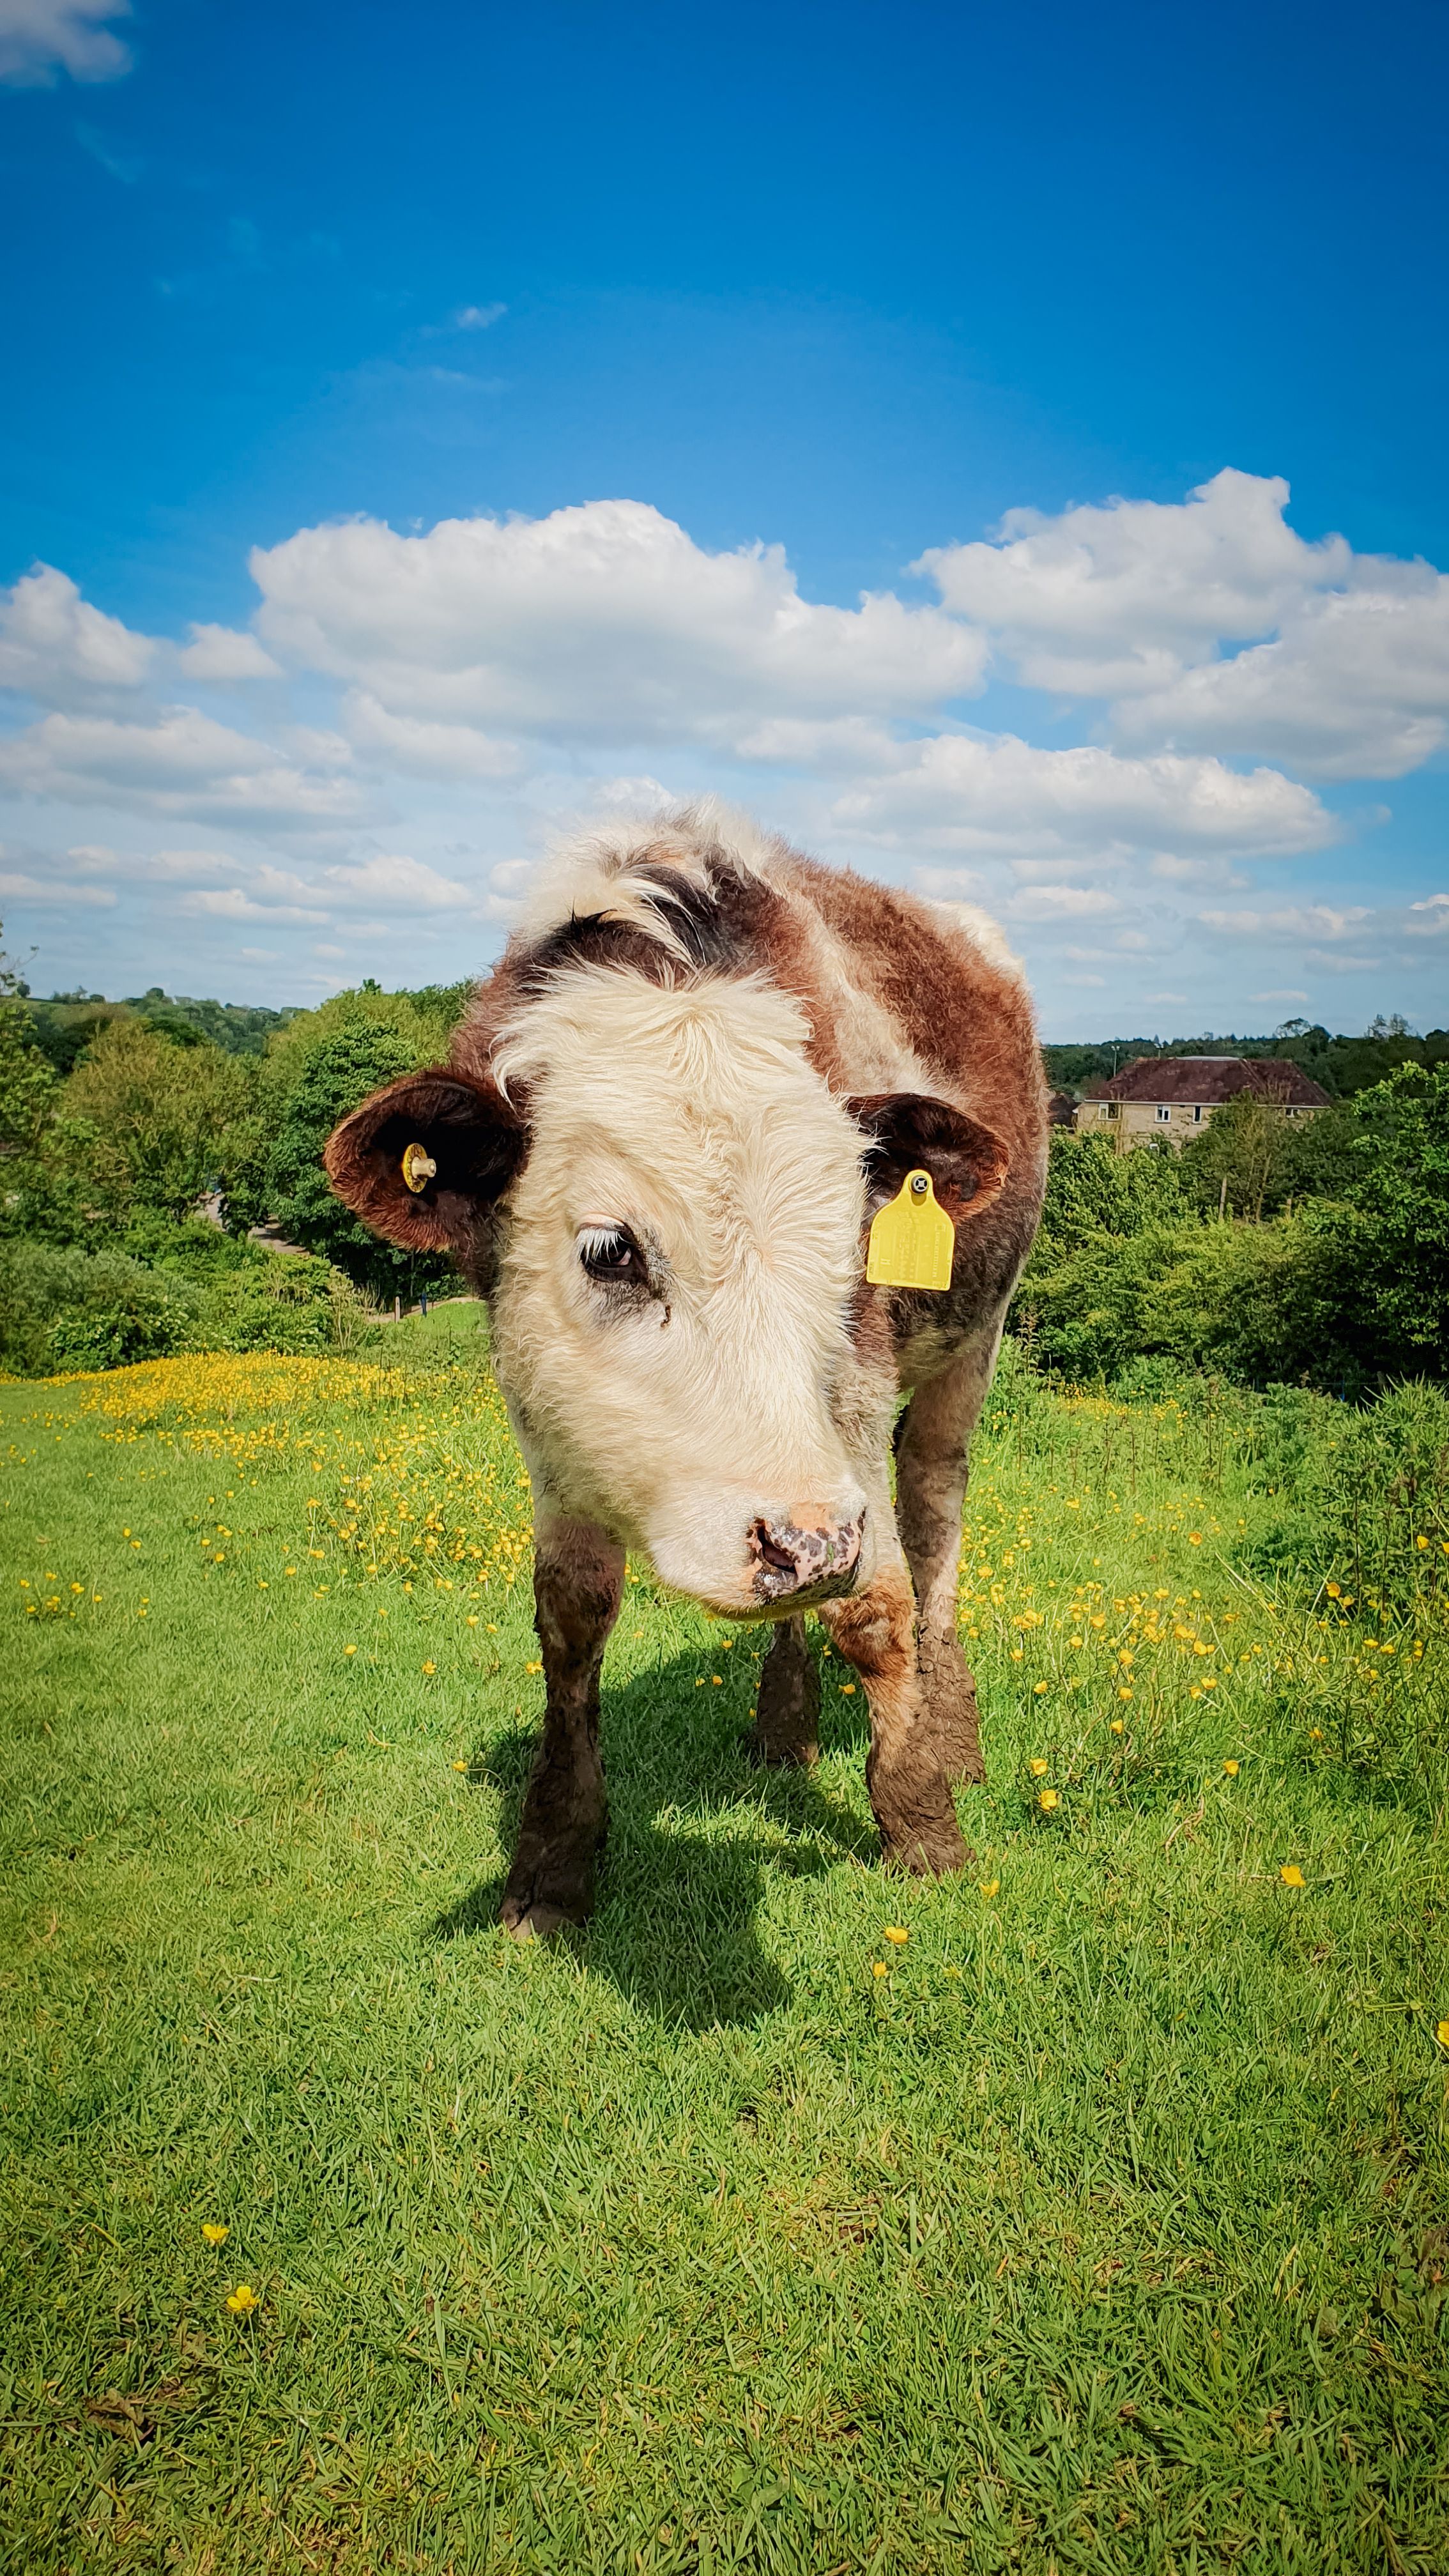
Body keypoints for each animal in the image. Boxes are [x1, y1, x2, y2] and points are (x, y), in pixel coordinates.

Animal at [325, 802, 1047, 1939]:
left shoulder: (858, 1400)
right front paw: (554, 1861)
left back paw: (953, 1729)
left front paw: (922, 1826)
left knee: (933, 1528)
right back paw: (785, 1728)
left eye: (851, 1244)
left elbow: (875, 1608)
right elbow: (570, 1618)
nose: (806, 1543)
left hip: (966, 1355)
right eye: (609, 1250)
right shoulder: (549, 1424)